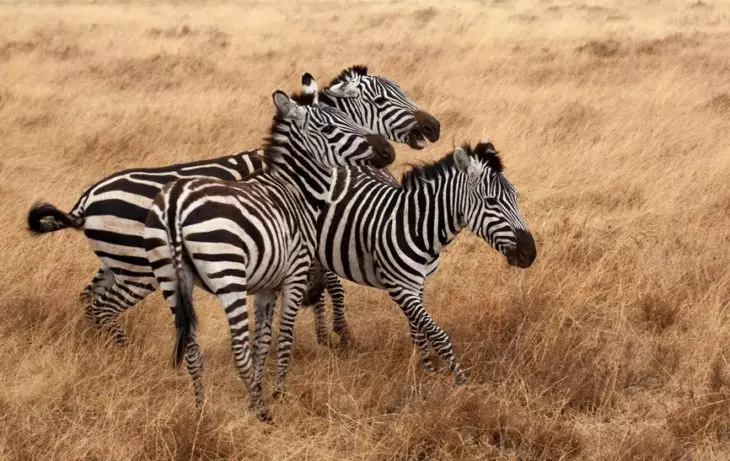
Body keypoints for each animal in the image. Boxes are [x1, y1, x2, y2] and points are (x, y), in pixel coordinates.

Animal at [27, 64, 438, 344]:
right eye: (382, 100)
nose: (433, 128)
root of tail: (86, 199)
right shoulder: (325, 229)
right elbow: (333, 285)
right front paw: (338, 335)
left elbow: (318, 284)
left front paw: (323, 333)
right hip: (135, 267)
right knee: (100, 303)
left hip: (117, 262)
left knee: (88, 298)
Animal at [142, 88, 392, 418]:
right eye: (328, 129)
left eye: (348, 117)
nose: (388, 150)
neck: (296, 192)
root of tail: (174, 202)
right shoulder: (295, 275)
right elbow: (284, 335)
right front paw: (277, 392)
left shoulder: (265, 286)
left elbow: (262, 342)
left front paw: (255, 391)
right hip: (228, 273)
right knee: (238, 348)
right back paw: (263, 413)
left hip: (168, 277)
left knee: (192, 348)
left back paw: (201, 410)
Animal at [296, 141, 536, 384]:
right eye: (491, 201)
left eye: (515, 196)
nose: (530, 254)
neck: (416, 225)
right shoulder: (400, 287)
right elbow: (438, 335)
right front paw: (460, 380)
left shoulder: (417, 285)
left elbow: (418, 330)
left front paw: (426, 369)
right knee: (331, 283)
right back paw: (336, 334)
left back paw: (325, 334)